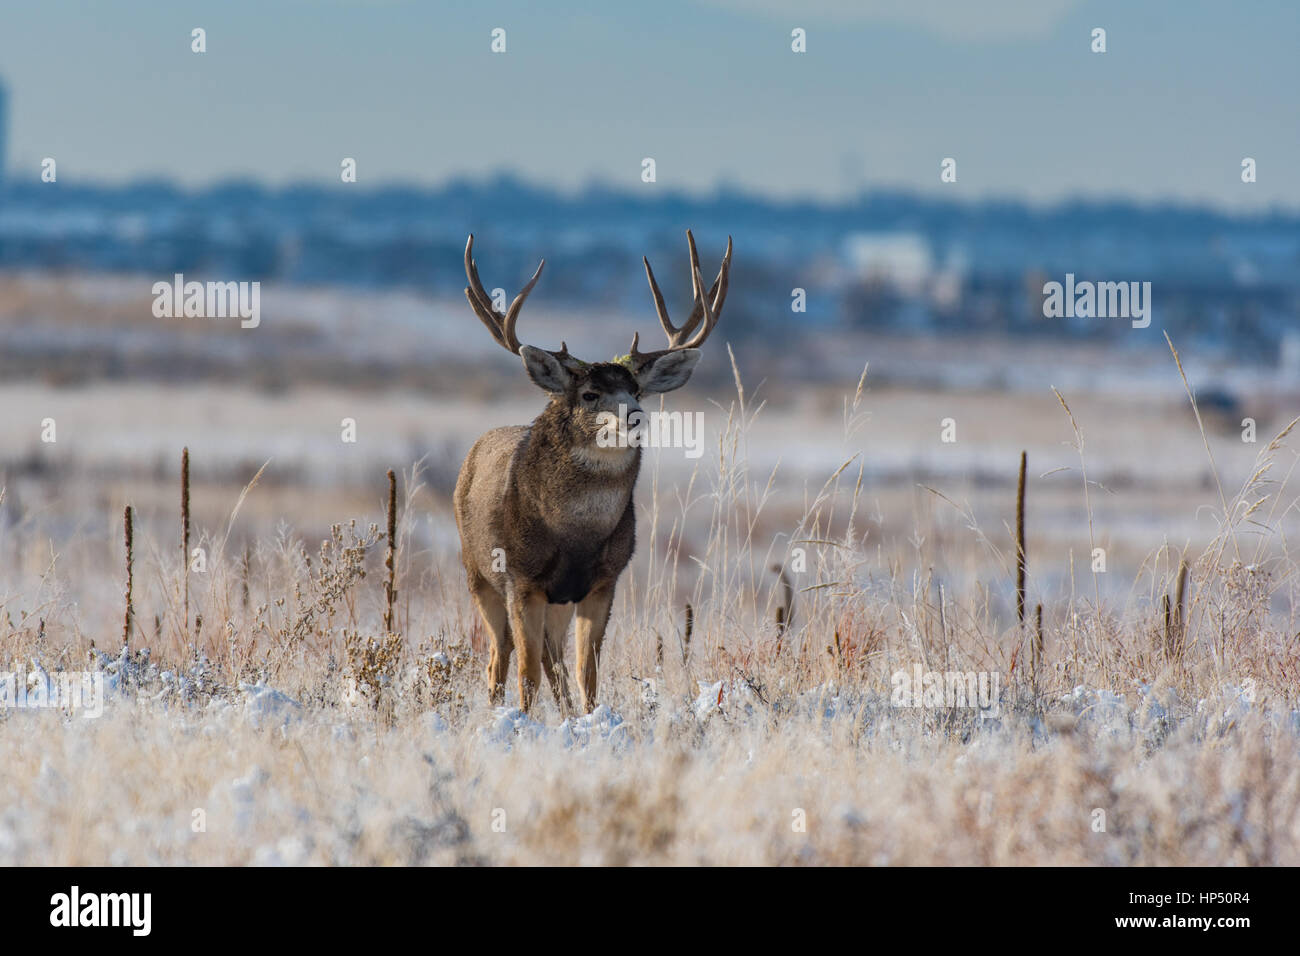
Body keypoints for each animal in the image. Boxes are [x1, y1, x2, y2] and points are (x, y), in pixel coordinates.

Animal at [453, 230, 732, 714]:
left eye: (636, 389)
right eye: (589, 393)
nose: (635, 414)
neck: (574, 534)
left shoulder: (603, 581)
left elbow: (588, 672)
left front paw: (587, 717)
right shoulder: (521, 580)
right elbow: (526, 673)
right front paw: (522, 721)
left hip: (557, 601)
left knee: (553, 659)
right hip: (477, 573)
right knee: (499, 657)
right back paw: (495, 707)